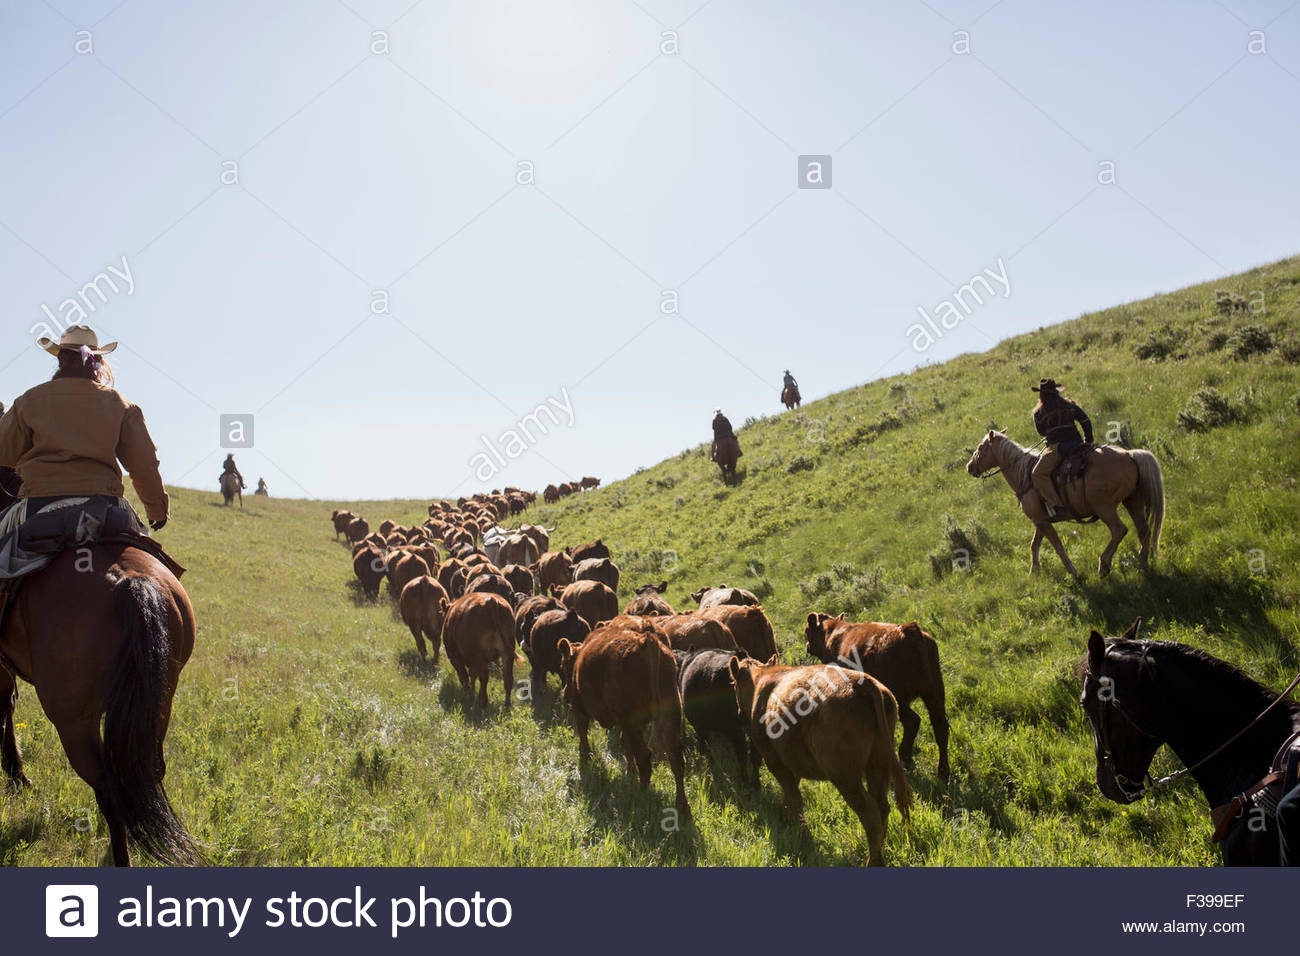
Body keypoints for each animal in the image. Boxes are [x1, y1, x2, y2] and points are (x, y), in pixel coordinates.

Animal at [557, 626, 689, 818]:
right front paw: (629, 771)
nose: (565, 694)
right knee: (676, 758)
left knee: (645, 758)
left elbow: (582, 733)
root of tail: (647, 642)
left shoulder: (579, 707)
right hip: (669, 717)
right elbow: (624, 743)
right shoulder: (624, 723)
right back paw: (682, 805)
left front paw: (584, 756)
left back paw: (641, 795)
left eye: (563, 667)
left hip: (633, 720)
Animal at [674, 647, 759, 785]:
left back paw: (745, 782)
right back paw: (755, 783)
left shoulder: (700, 727)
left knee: (742, 753)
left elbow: (706, 751)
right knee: (755, 754)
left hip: (733, 728)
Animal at [729, 657, 911, 866]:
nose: (738, 714)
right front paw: (786, 818)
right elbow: (791, 792)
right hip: (878, 765)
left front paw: (801, 835)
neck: (763, 679)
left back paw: (873, 861)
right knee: (882, 807)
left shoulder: (773, 759)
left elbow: (795, 797)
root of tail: (865, 685)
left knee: (870, 812)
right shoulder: (792, 760)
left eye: (733, 684)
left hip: (845, 776)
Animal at [803, 613, 950, 778]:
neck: (834, 633)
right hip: (934, 693)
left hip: (899, 697)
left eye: (806, 630)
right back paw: (942, 771)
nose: (807, 646)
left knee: (912, 721)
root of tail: (909, 630)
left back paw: (905, 756)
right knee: (940, 726)